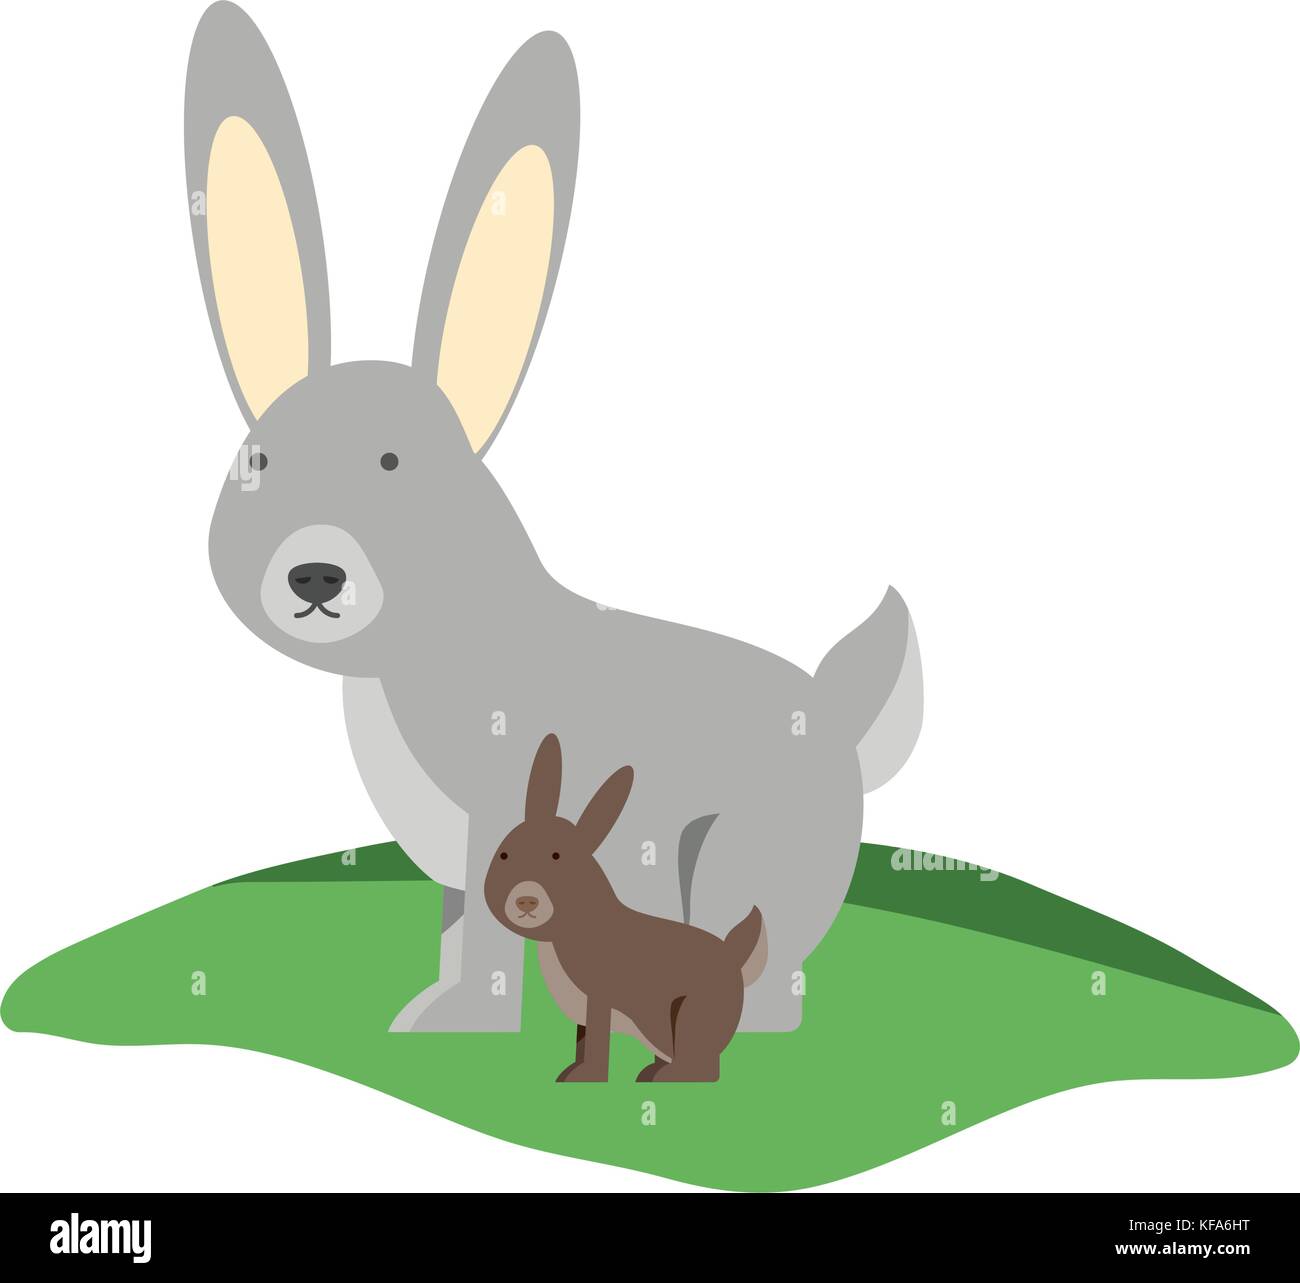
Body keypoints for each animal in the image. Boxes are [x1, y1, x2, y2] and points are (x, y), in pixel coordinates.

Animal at [185, 2, 923, 1034]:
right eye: (258, 464)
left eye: (396, 465)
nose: (316, 575)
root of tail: (838, 720)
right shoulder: (468, 867)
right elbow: (460, 930)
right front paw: (438, 1009)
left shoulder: (501, 805)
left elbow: (493, 949)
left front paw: (462, 1026)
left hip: (743, 859)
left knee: (770, 968)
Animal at [486, 735, 767, 1083]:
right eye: (504, 855)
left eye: (557, 857)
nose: (526, 901)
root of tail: (733, 956)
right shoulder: (583, 1015)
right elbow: (582, 1042)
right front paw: (571, 1073)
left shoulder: (600, 998)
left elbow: (597, 1044)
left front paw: (587, 1078)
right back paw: (651, 1071)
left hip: (695, 1013)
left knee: (706, 1067)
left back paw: (668, 1077)